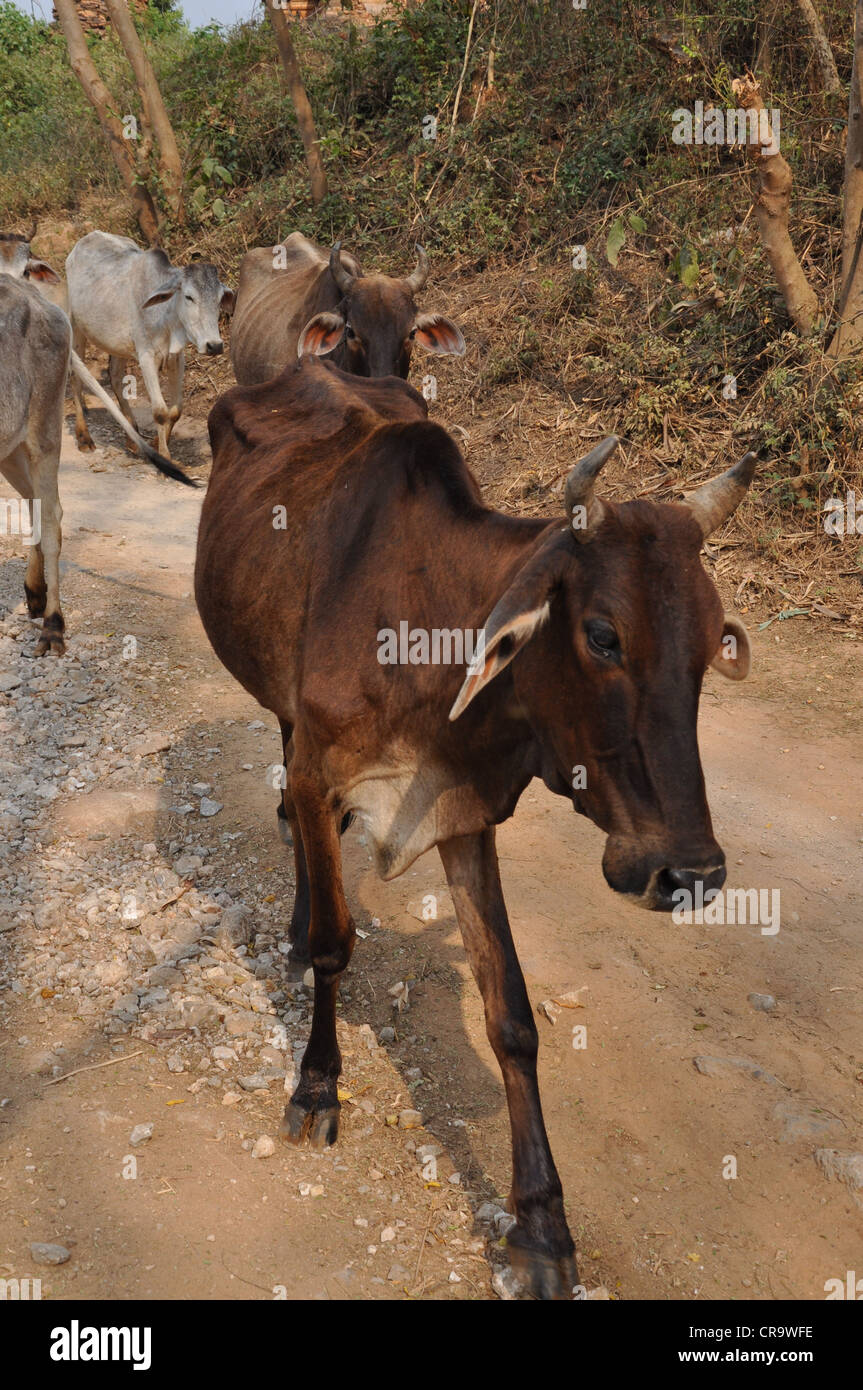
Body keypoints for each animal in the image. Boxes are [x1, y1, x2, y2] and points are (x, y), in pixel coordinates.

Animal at [0, 234, 194, 656]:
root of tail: (43, 305)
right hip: (10, 447)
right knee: (34, 503)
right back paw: (35, 593)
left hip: (44, 432)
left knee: (51, 514)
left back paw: (53, 625)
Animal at [66, 231, 235, 461]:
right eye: (189, 297)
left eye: (219, 299)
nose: (214, 346)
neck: (166, 316)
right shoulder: (146, 357)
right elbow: (160, 412)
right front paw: (164, 455)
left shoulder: (176, 358)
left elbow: (176, 410)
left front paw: (155, 442)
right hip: (76, 327)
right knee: (76, 377)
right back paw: (84, 437)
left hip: (117, 344)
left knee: (116, 378)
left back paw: (132, 437)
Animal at [195, 356, 755, 1299]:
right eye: (602, 635)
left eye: (714, 641)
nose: (689, 874)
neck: (425, 634)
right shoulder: (318, 770)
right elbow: (335, 946)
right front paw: (317, 1086)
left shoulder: (466, 816)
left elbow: (512, 1017)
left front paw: (542, 1227)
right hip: (286, 718)